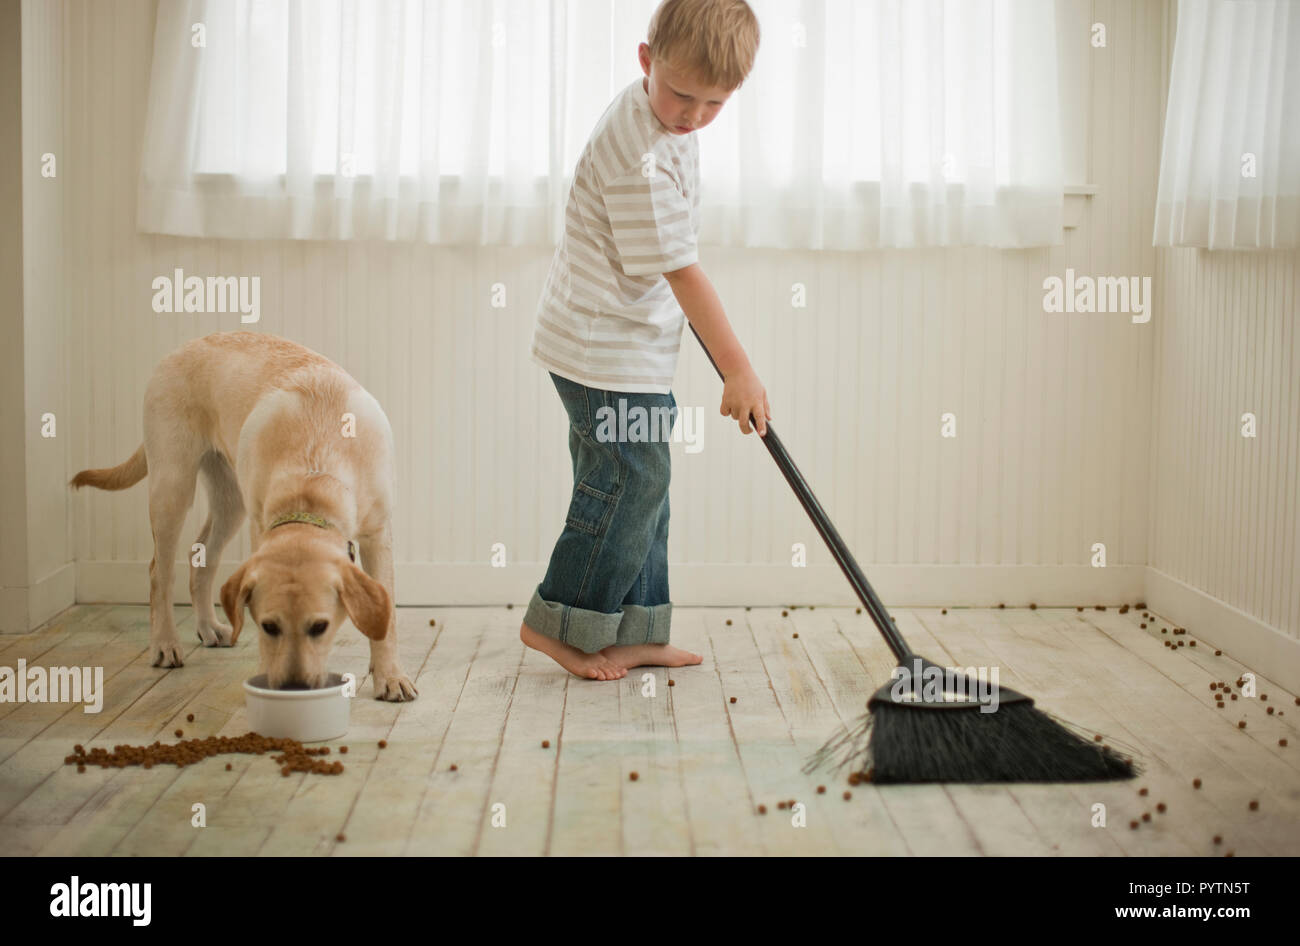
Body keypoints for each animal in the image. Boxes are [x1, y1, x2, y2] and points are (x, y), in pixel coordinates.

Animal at [69, 328, 416, 696]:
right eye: (269, 627)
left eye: (319, 627)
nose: (292, 686)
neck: (314, 474)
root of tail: (181, 348)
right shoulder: (259, 526)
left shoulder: (378, 535)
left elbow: (388, 618)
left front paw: (390, 676)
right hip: (172, 486)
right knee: (158, 572)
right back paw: (164, 643)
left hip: (230, 500)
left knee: (201, 559)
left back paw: (208, 626)